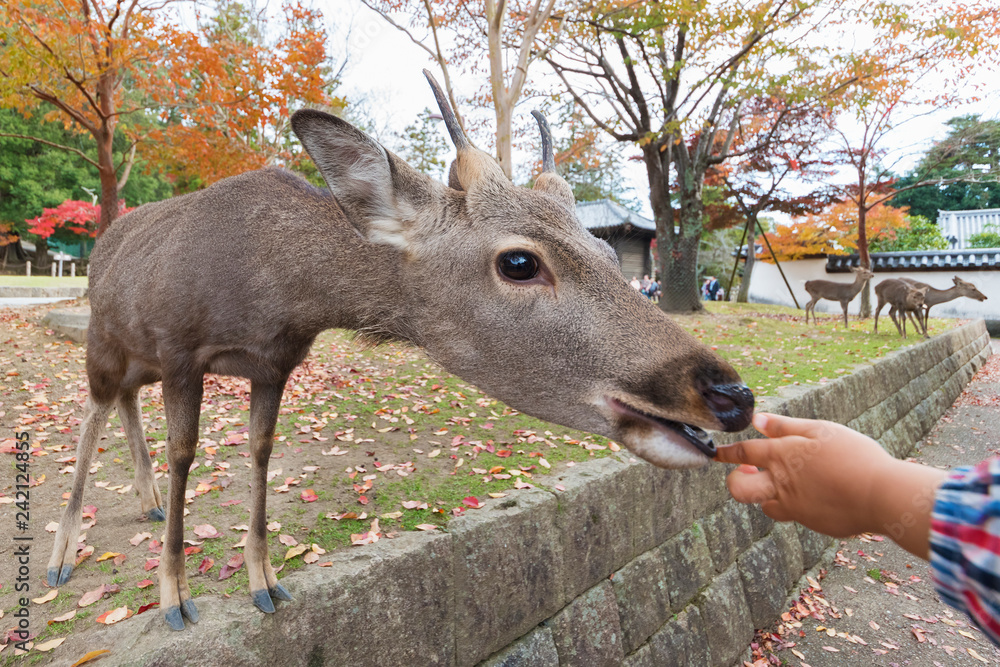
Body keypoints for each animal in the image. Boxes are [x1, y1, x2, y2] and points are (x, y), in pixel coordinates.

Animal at [46, 71, 755, 632]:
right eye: (519, 262)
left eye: (608, 252)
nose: (732, 395)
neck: (275, 294)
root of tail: (103, 246)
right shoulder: (181, 350)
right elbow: (186, 455)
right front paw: (174, 599)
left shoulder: (273, 364)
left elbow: (260, 453)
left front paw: (265, 584)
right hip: (104, 340)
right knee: (91, 414)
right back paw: (58, 558)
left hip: (135, 360)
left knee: (123, 405)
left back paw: (143, 500)